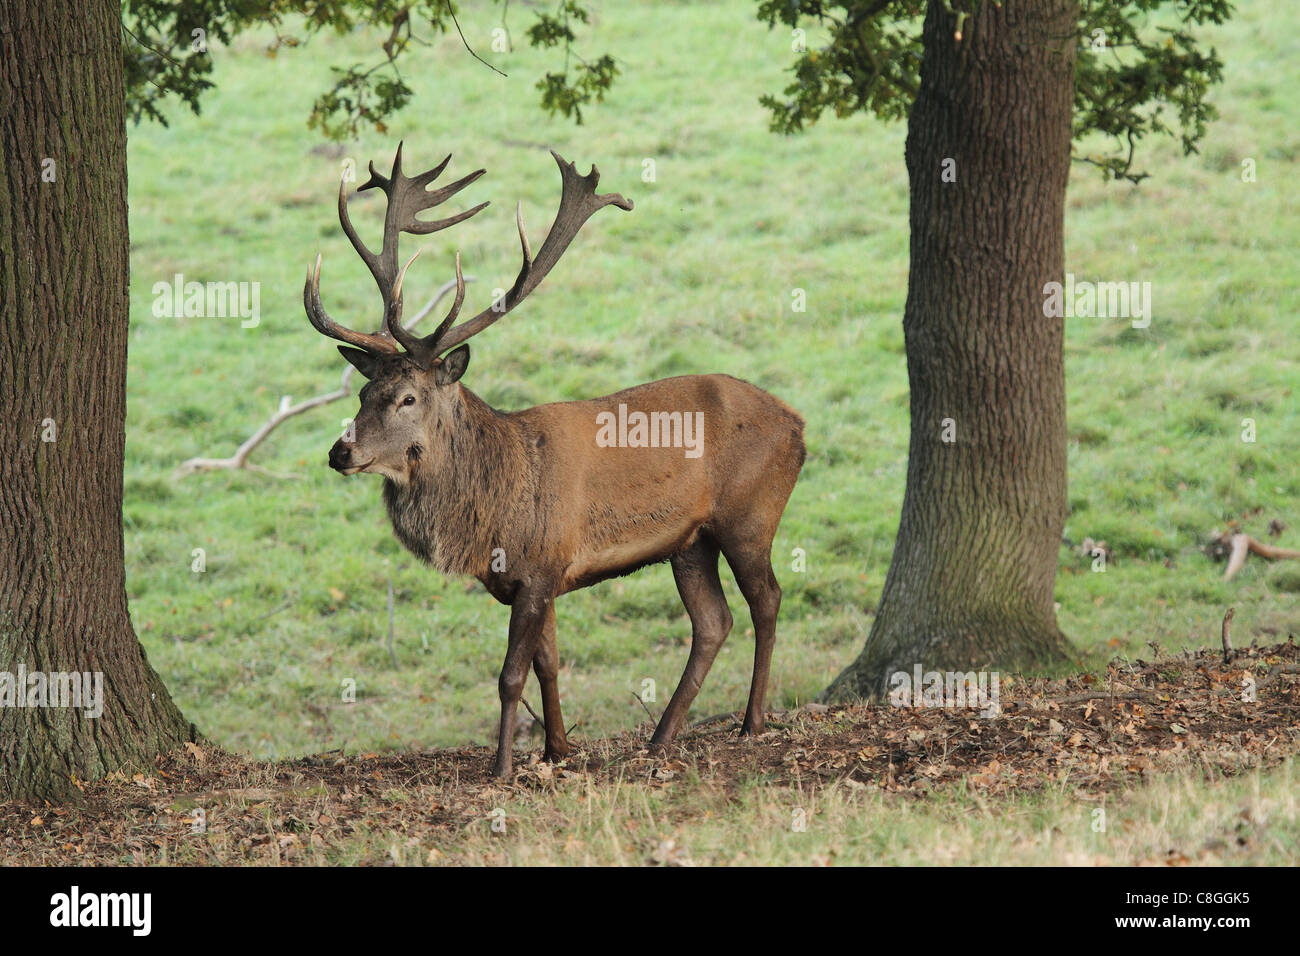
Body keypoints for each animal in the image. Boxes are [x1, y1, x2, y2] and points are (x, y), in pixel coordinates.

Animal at [303, 143, 805, 778]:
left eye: (408, 398)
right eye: (365, 393)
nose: (340, 451)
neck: (493, 511)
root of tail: (800, 425)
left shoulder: (543, 563)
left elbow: (509, 675)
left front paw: (502, 768)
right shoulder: (534, 576)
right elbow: (548, 663)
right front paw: (556, 750)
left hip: (750, 514)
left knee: (767, 600)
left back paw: (752, 721)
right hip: (691, 541)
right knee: (713, 621)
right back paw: (661, 736)